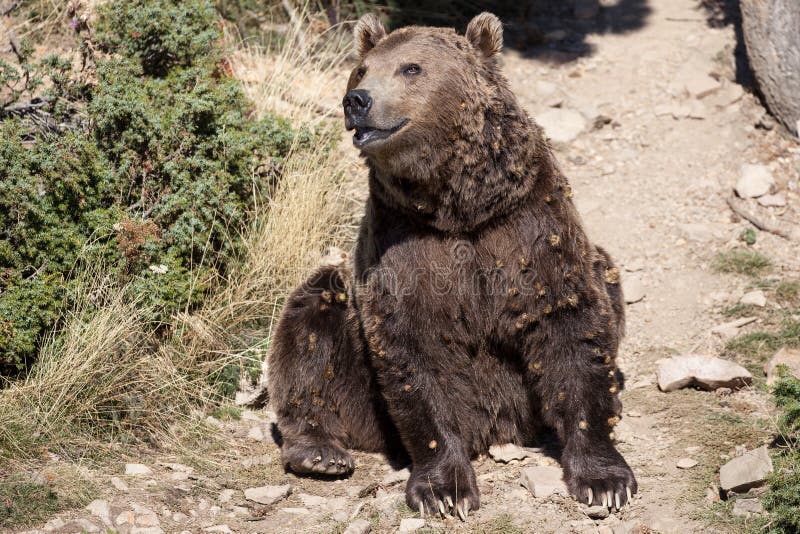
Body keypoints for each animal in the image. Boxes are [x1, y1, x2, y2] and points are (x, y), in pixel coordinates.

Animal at [267, 12, 637, 520]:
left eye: (411, 68)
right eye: (361, 69)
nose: (356, 101)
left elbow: (572, 324)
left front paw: (604, 479)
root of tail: (499, 430)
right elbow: (411, 350)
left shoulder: (529, 227)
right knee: (313, 319)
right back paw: (318, 451)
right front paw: (445, 489)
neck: (458, 206)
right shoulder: (401, 244)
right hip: (358, 391)